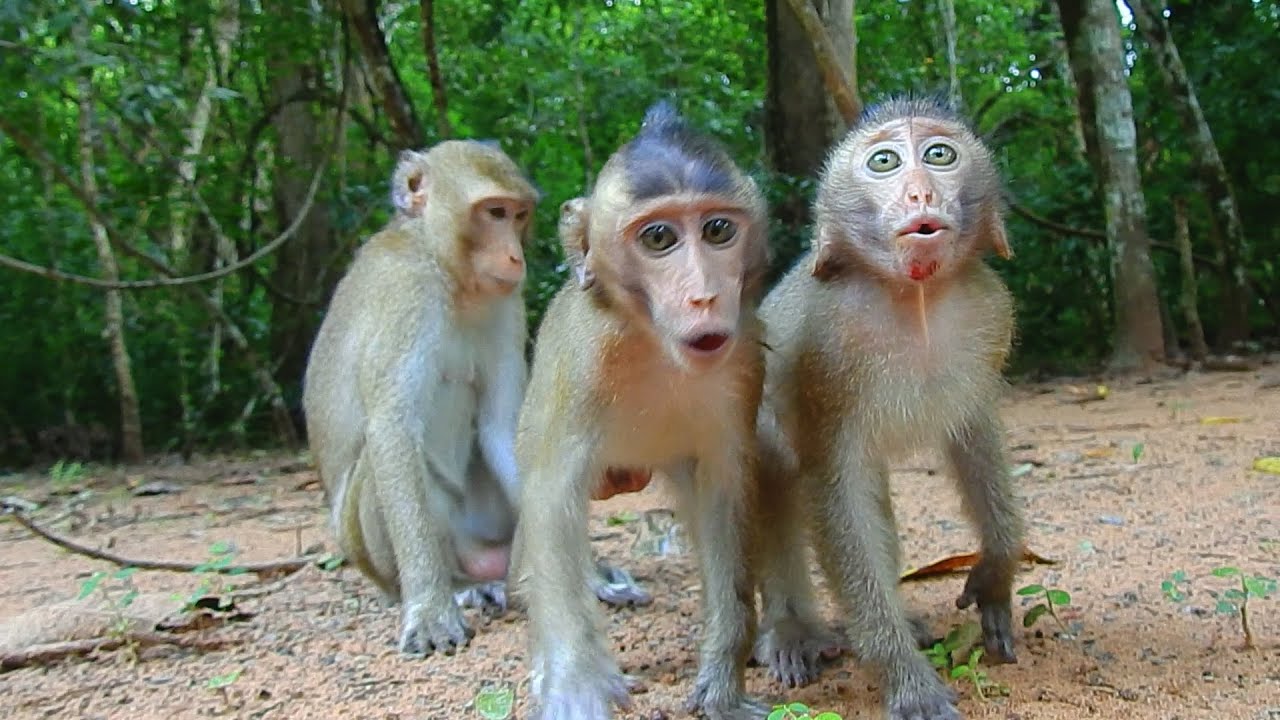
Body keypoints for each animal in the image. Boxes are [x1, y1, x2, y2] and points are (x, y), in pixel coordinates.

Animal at [302, 140, 537, 656]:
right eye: (494, 212)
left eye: (518, 216)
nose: (516, 258)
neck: (446, 271)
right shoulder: (405, 290)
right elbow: (392, 428)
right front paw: (429, 607)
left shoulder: (507, 303)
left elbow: (500, 427)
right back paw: (457, 586)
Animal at [513, 101, 771, 720]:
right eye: (659, 237)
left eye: (718, 230)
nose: (704, 295)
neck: (655, 342)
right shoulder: (583, 357)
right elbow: (551, 493)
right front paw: (574, 685)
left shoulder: (744, 357)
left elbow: (725, 492)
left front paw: (723, 680)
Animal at [751, 96, 1025, 720]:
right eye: (884, 161)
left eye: (940, 154)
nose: (921, 193)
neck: (916, 298)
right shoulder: (824, 348)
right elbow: (833, 489)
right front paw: (905, 677)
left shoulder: (992, 312)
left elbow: (973, 435)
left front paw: (997, 572)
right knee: (772, 479)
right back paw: (791, 631)